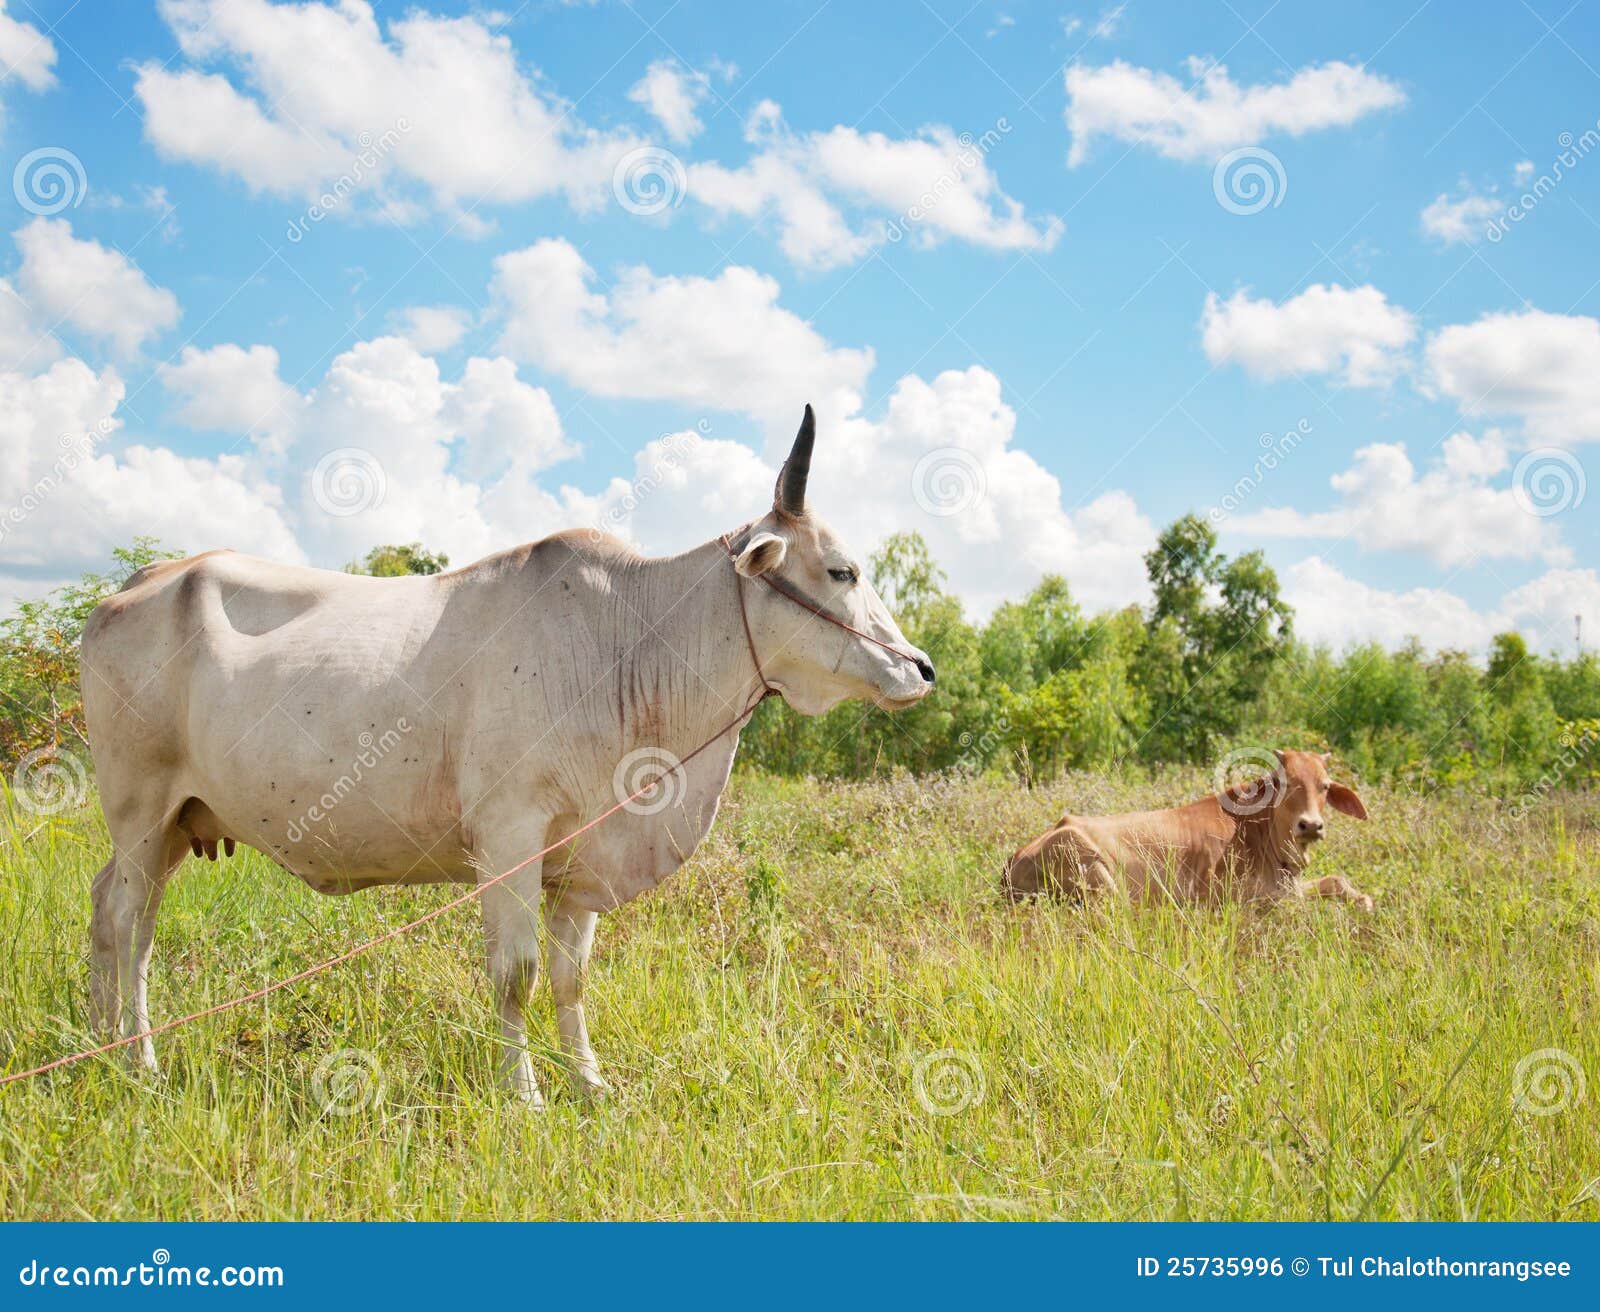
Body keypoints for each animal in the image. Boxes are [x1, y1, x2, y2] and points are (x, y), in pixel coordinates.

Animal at [81, 407, 935, 1103]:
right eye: (842, 570)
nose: (922, 669)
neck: (627, 645)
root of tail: (138, 583)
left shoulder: (580, 855)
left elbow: (571, 980)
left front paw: (590, 1085)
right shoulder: (509, 837)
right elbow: (515, 976)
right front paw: (524, 1095)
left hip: (174, 823)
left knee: (115, 913)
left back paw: (98, 1042)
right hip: (138, 807)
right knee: (129, 923)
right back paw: (138, 1062)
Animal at [1001, 749, 1372, 910]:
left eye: (1325, 786)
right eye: (1283, 782)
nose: (1310, 825)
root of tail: (1013, 860)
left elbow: (1337, 881)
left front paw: (1363, 901)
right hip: (1096, 873)